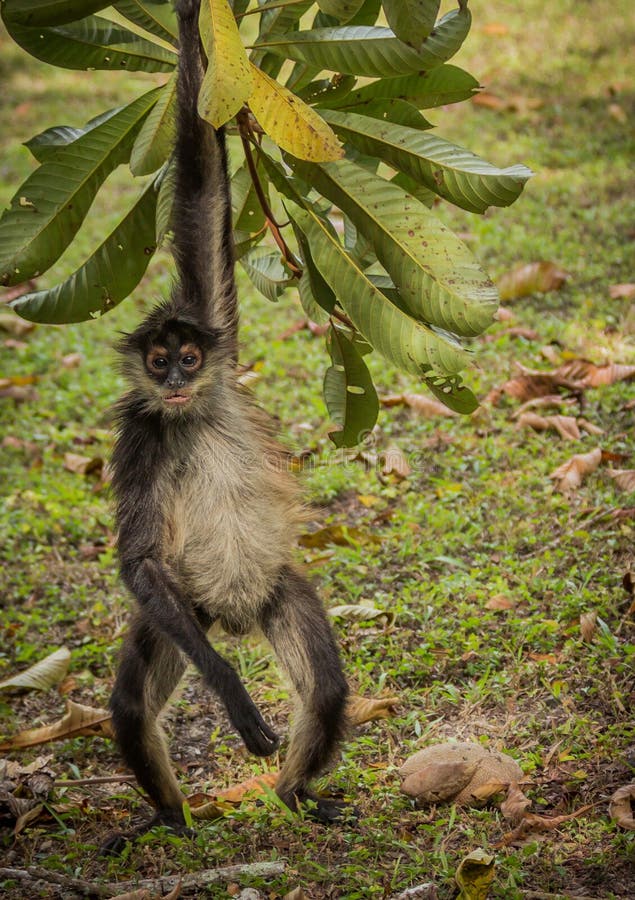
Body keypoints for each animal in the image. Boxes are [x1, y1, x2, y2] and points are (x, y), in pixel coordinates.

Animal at [102, 0, 349, 852]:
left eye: (186, 357)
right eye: (157, 362)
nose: (176, 381)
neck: (191, 414)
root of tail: (234, 615)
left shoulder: (216, 332)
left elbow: (205, 194)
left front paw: (192, 22)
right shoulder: (140, 437)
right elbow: (141, 558)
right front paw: (230, 690)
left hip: (277, 590)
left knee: (327, 692)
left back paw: (293, 795)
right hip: (187, 613)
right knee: (131, 704)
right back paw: (168, 816)